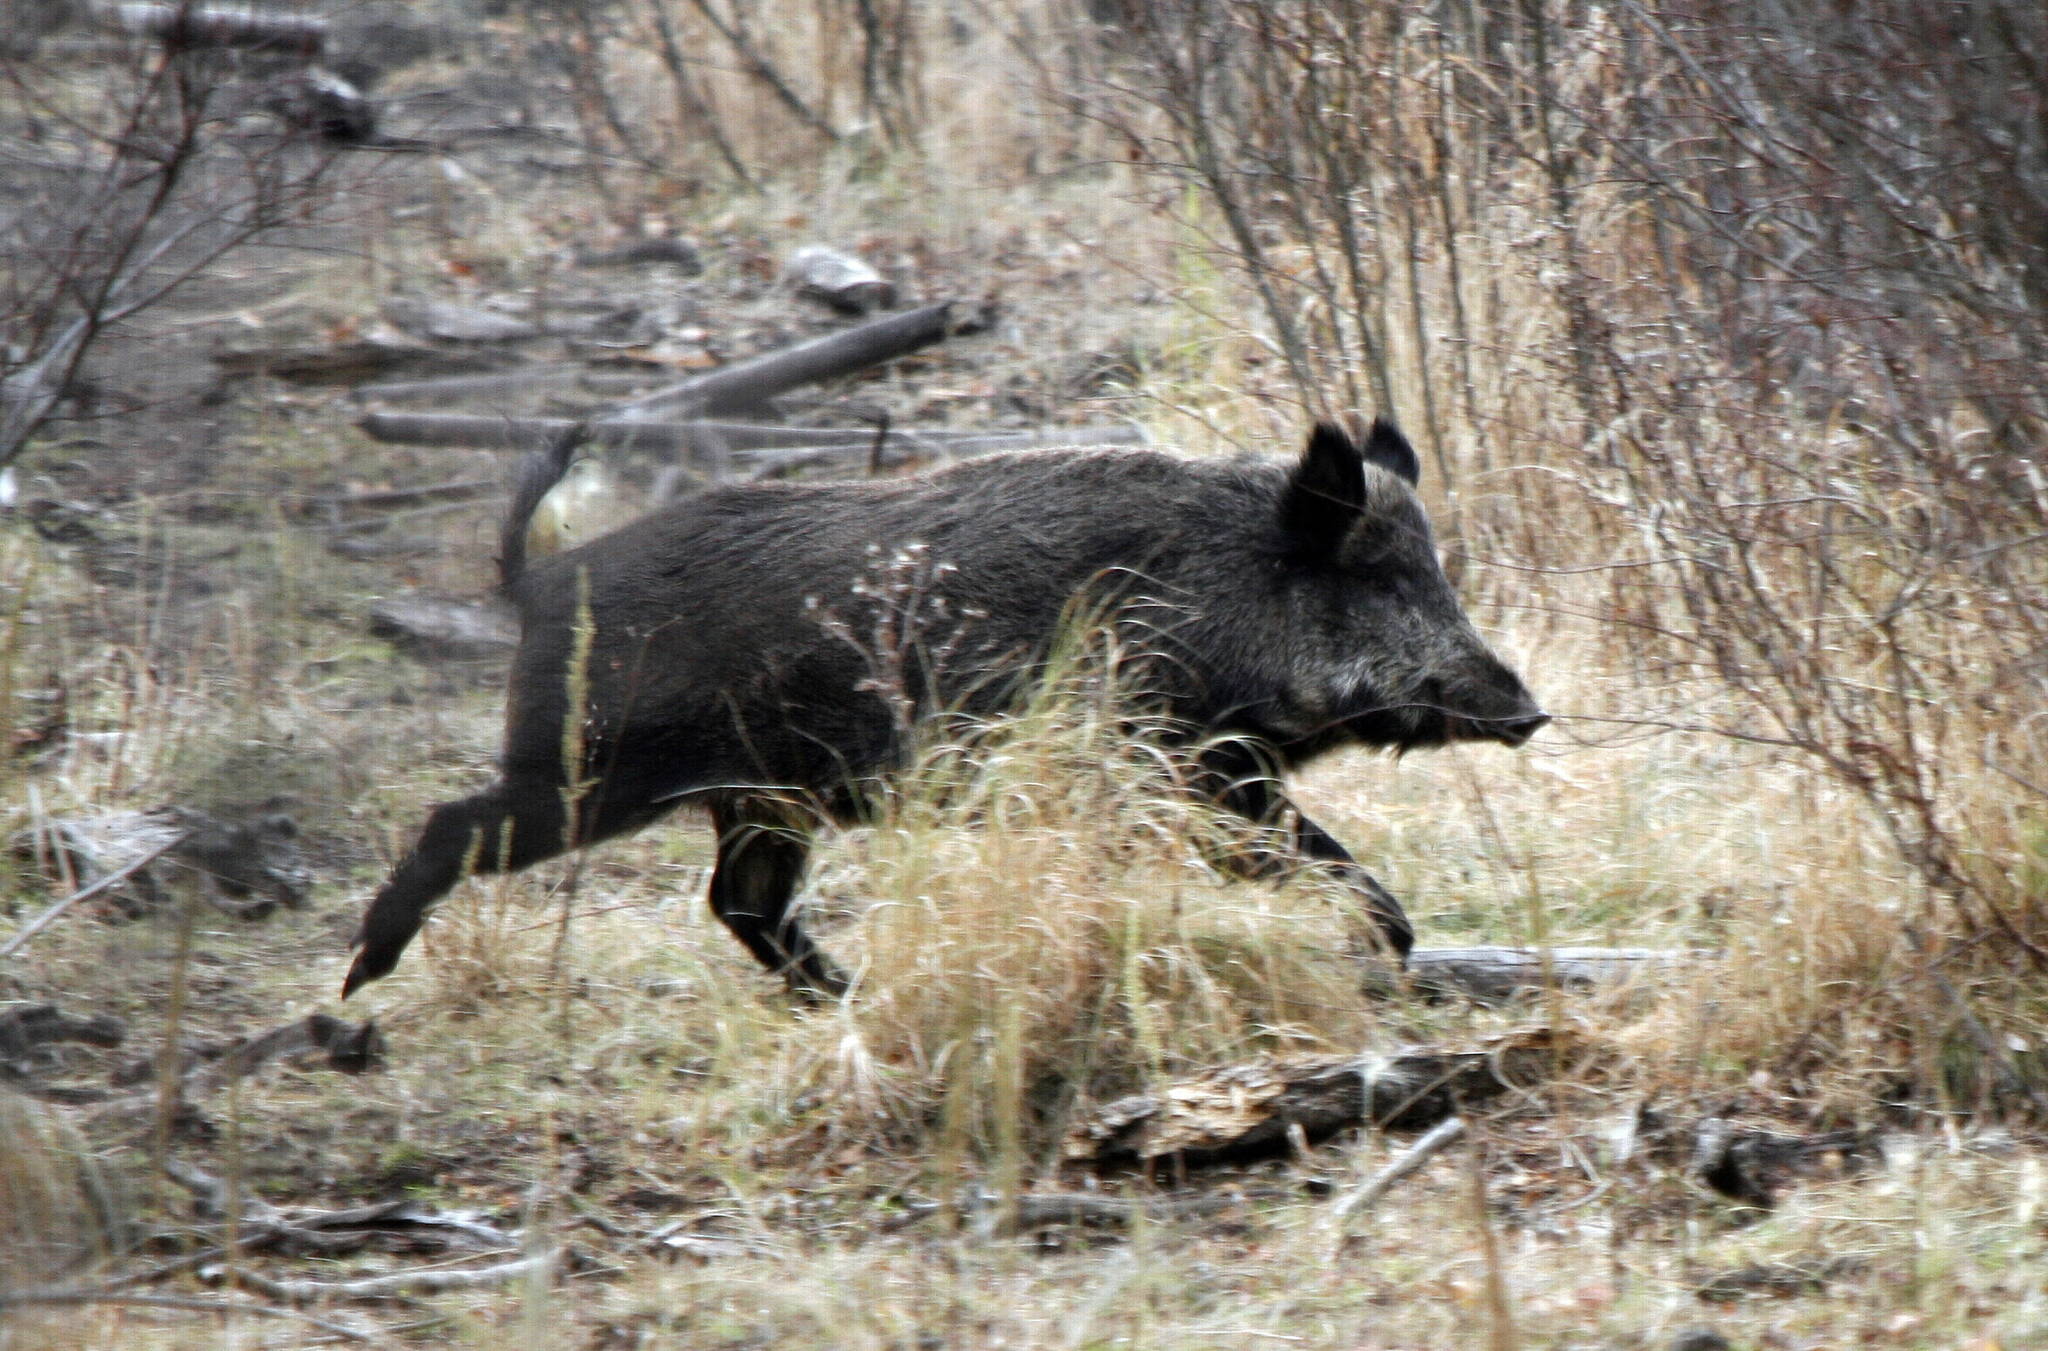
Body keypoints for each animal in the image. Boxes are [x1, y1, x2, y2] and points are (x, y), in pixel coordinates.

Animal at [342, 419, 1544, 1000]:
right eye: (1377, 575)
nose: (1528, 710)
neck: (1210, 594)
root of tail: (537, 580)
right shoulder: (1180, 767)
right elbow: (1310, 857)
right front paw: (1392, 946)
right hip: (589, 770)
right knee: (455, 822)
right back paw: (360, 981)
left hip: (761, 799)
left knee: (738, 903)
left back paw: (847, 995)